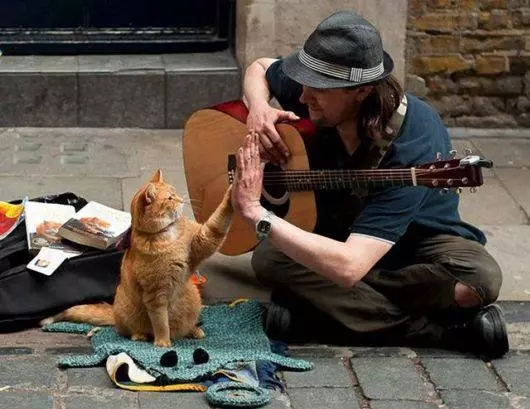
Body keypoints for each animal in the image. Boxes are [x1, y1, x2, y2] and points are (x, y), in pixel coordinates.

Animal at [41, 167, 231, 346]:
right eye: (170, 198)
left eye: (175, 192)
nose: (182, 200)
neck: (168, 234)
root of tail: (114, 311)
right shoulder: (155, 295)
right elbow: (161, 322)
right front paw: (163, 342)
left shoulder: (204, 240)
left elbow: (218, 222)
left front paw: (231, 191)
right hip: (128, 314)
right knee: (131, 330)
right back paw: (140, 336)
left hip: (193, 299)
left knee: (185, 326)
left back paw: (194, 330)